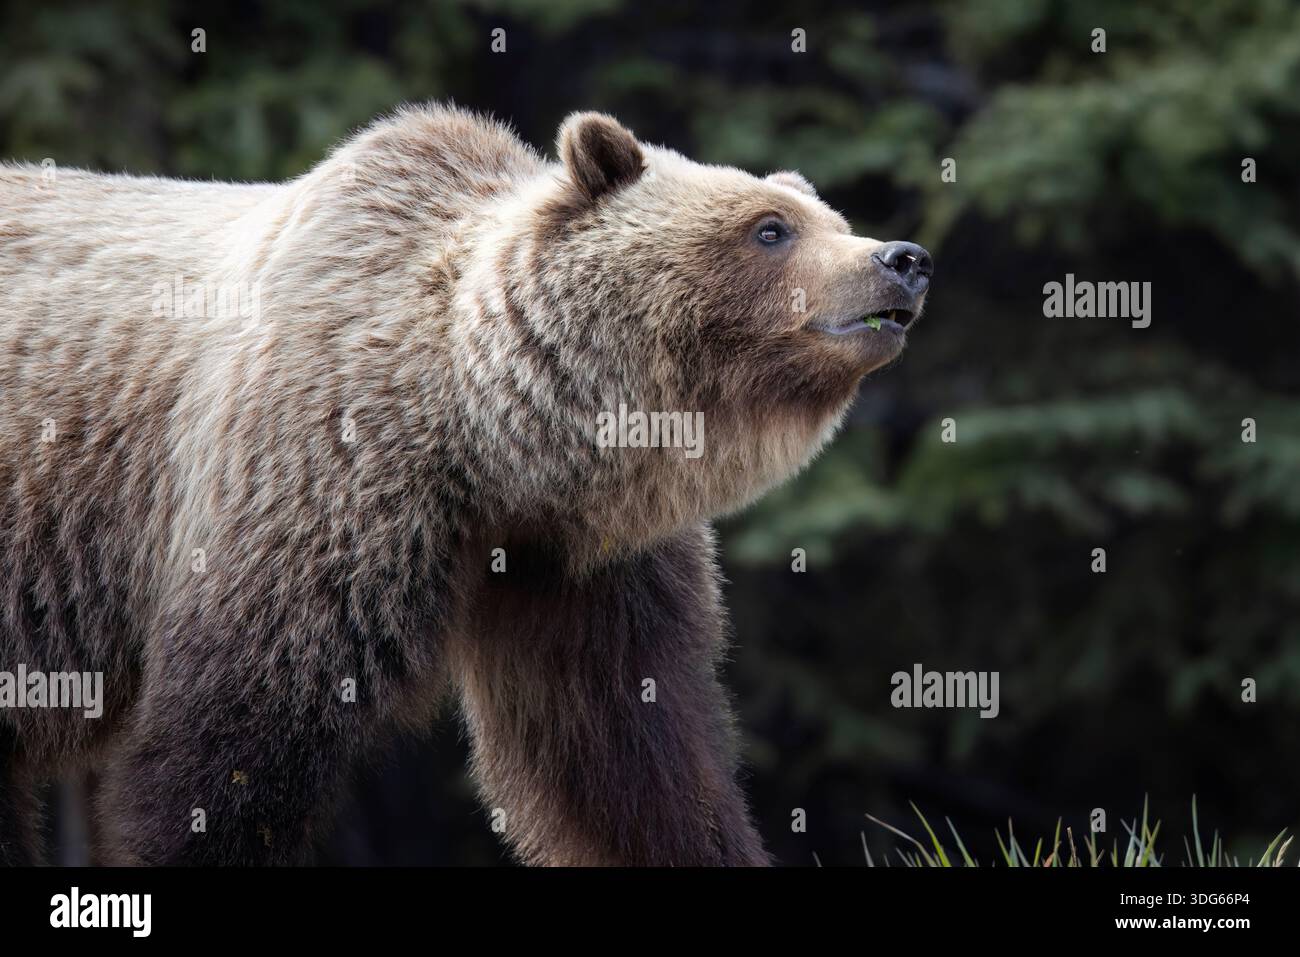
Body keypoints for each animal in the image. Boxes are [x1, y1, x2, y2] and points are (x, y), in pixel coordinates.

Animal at [0, 105, 932, 866]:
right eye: (770, 228)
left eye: (832, 218)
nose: (905, 258)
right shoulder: (311, 487)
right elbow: (228, 747)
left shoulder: (587, 568)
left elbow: (633, 753)